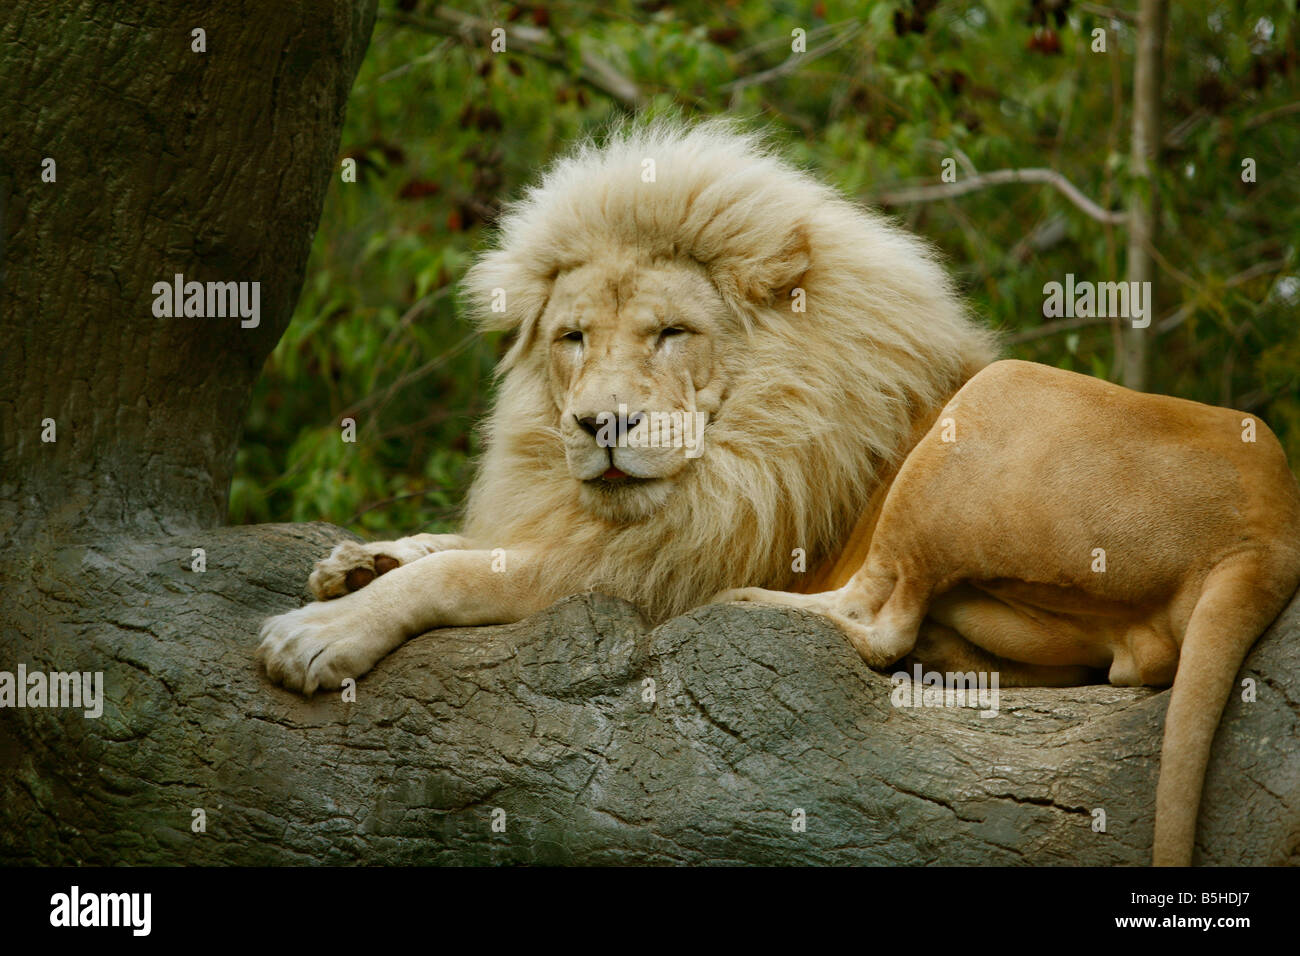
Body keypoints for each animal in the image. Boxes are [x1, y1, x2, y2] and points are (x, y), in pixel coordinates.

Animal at [258, 120, 1300, 867]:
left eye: (671, 333)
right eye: (571, 338)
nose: (598, 425)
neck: (735, 445)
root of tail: (1269, 534)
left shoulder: (647, 564)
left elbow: (463, 575)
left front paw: (323, 633)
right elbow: (450, 546)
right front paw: (356, 562)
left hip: (994, 402)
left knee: (877, 621)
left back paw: (752, 607)